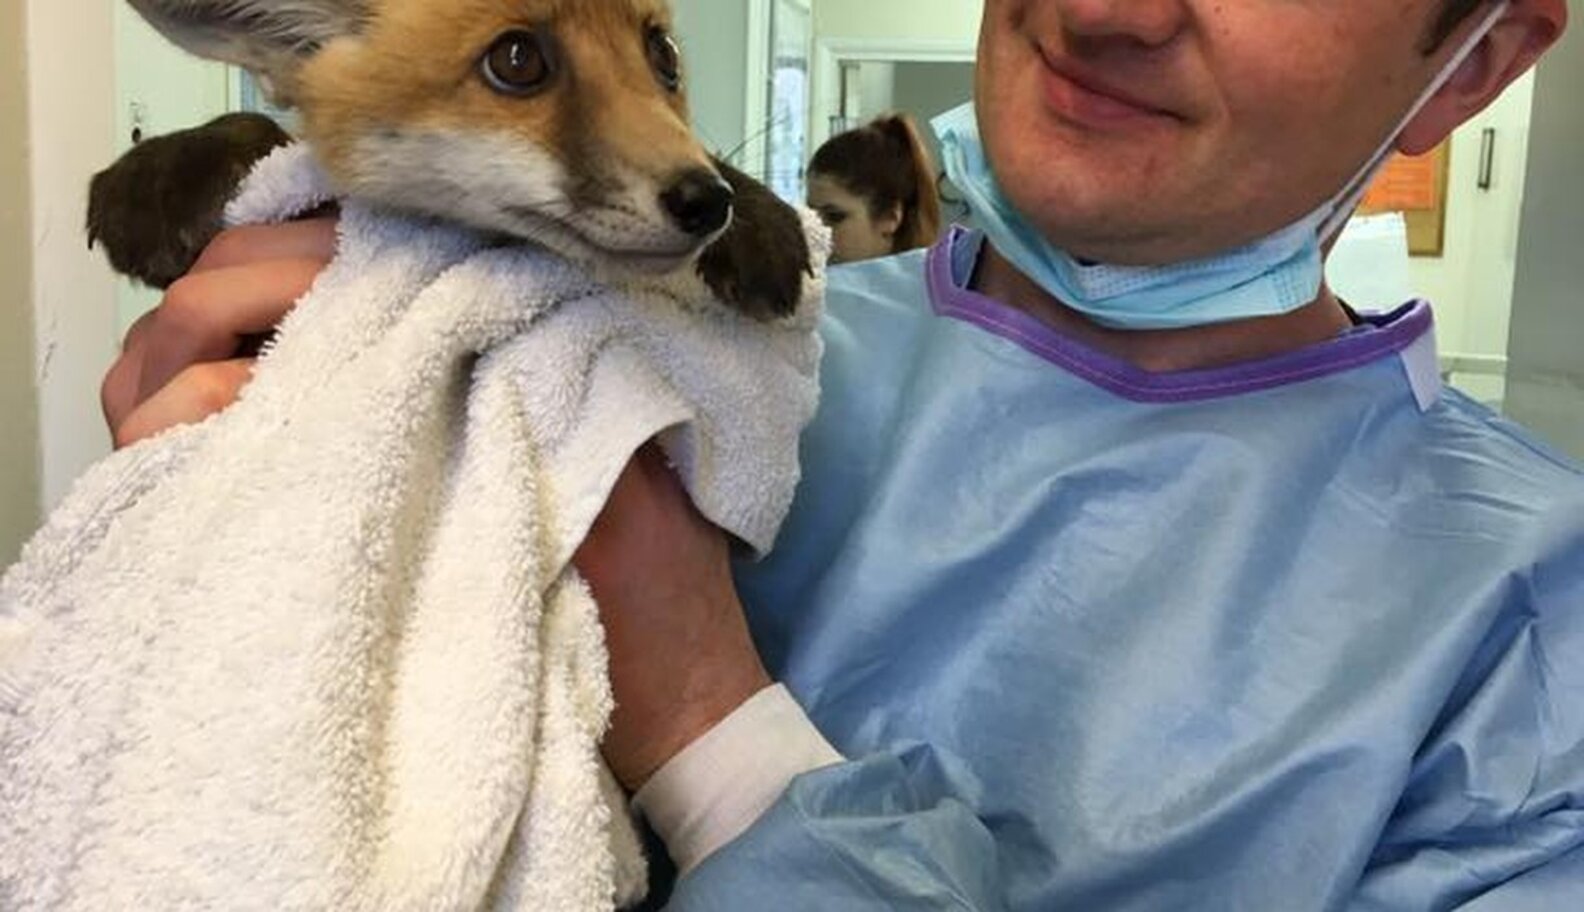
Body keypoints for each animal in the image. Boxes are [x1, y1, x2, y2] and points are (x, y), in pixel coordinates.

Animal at [88, 0, 812, 319]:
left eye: (663, 54)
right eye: (517, 61)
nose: (707, 203)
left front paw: (761, 221)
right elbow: (258, 126)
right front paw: (155, 176)